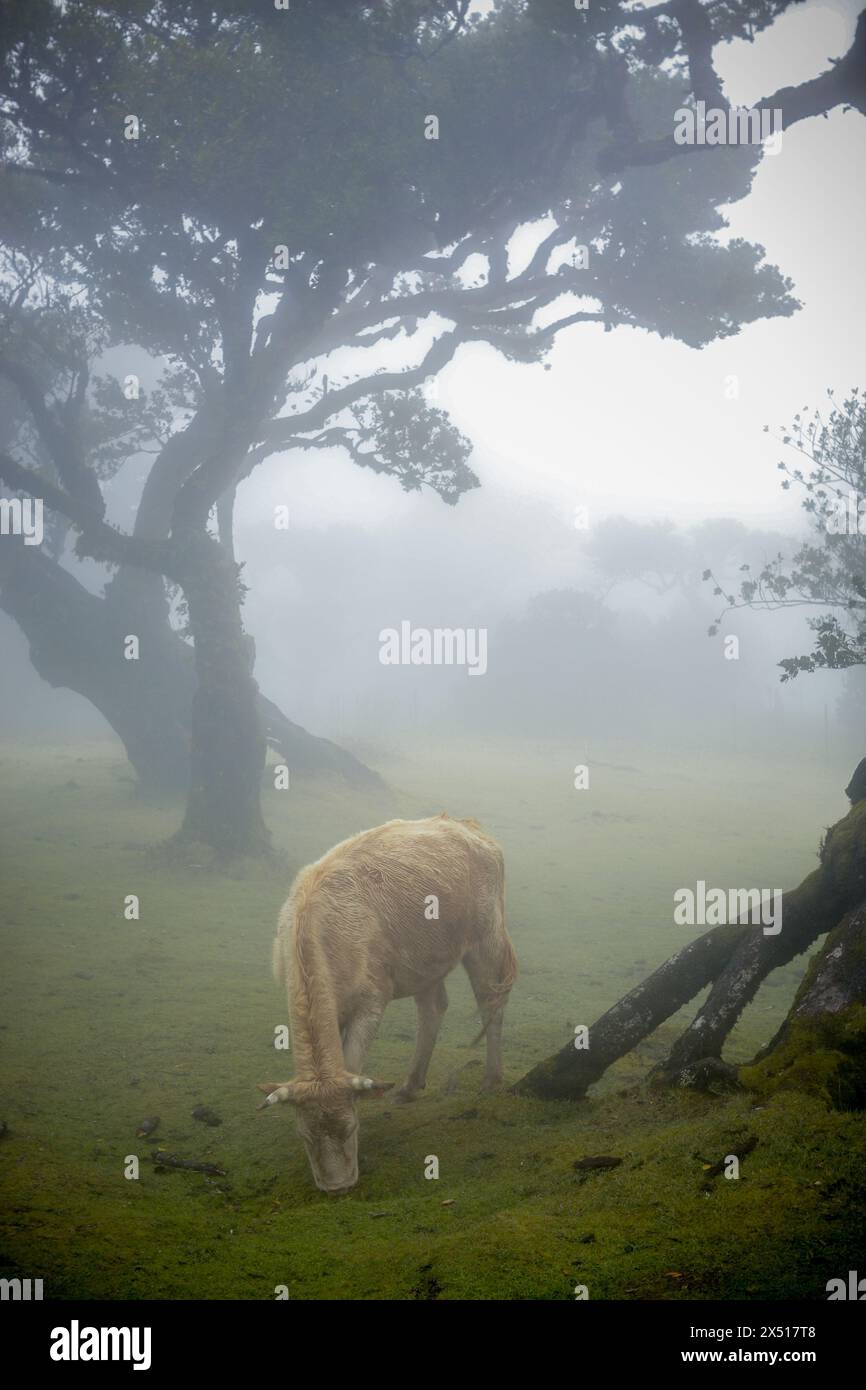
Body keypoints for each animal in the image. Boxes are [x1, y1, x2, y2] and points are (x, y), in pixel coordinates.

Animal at [257, 813, 517, 1194]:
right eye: (304, 1136)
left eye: (351, 1127)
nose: (337, 1187)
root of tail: (462, 822)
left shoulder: (371, 1002)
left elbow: (351, 1061)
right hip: (427, 959)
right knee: (433, 1008)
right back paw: (411, 1085)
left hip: (487, 936)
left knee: (490, 1000)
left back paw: (491, 1079)